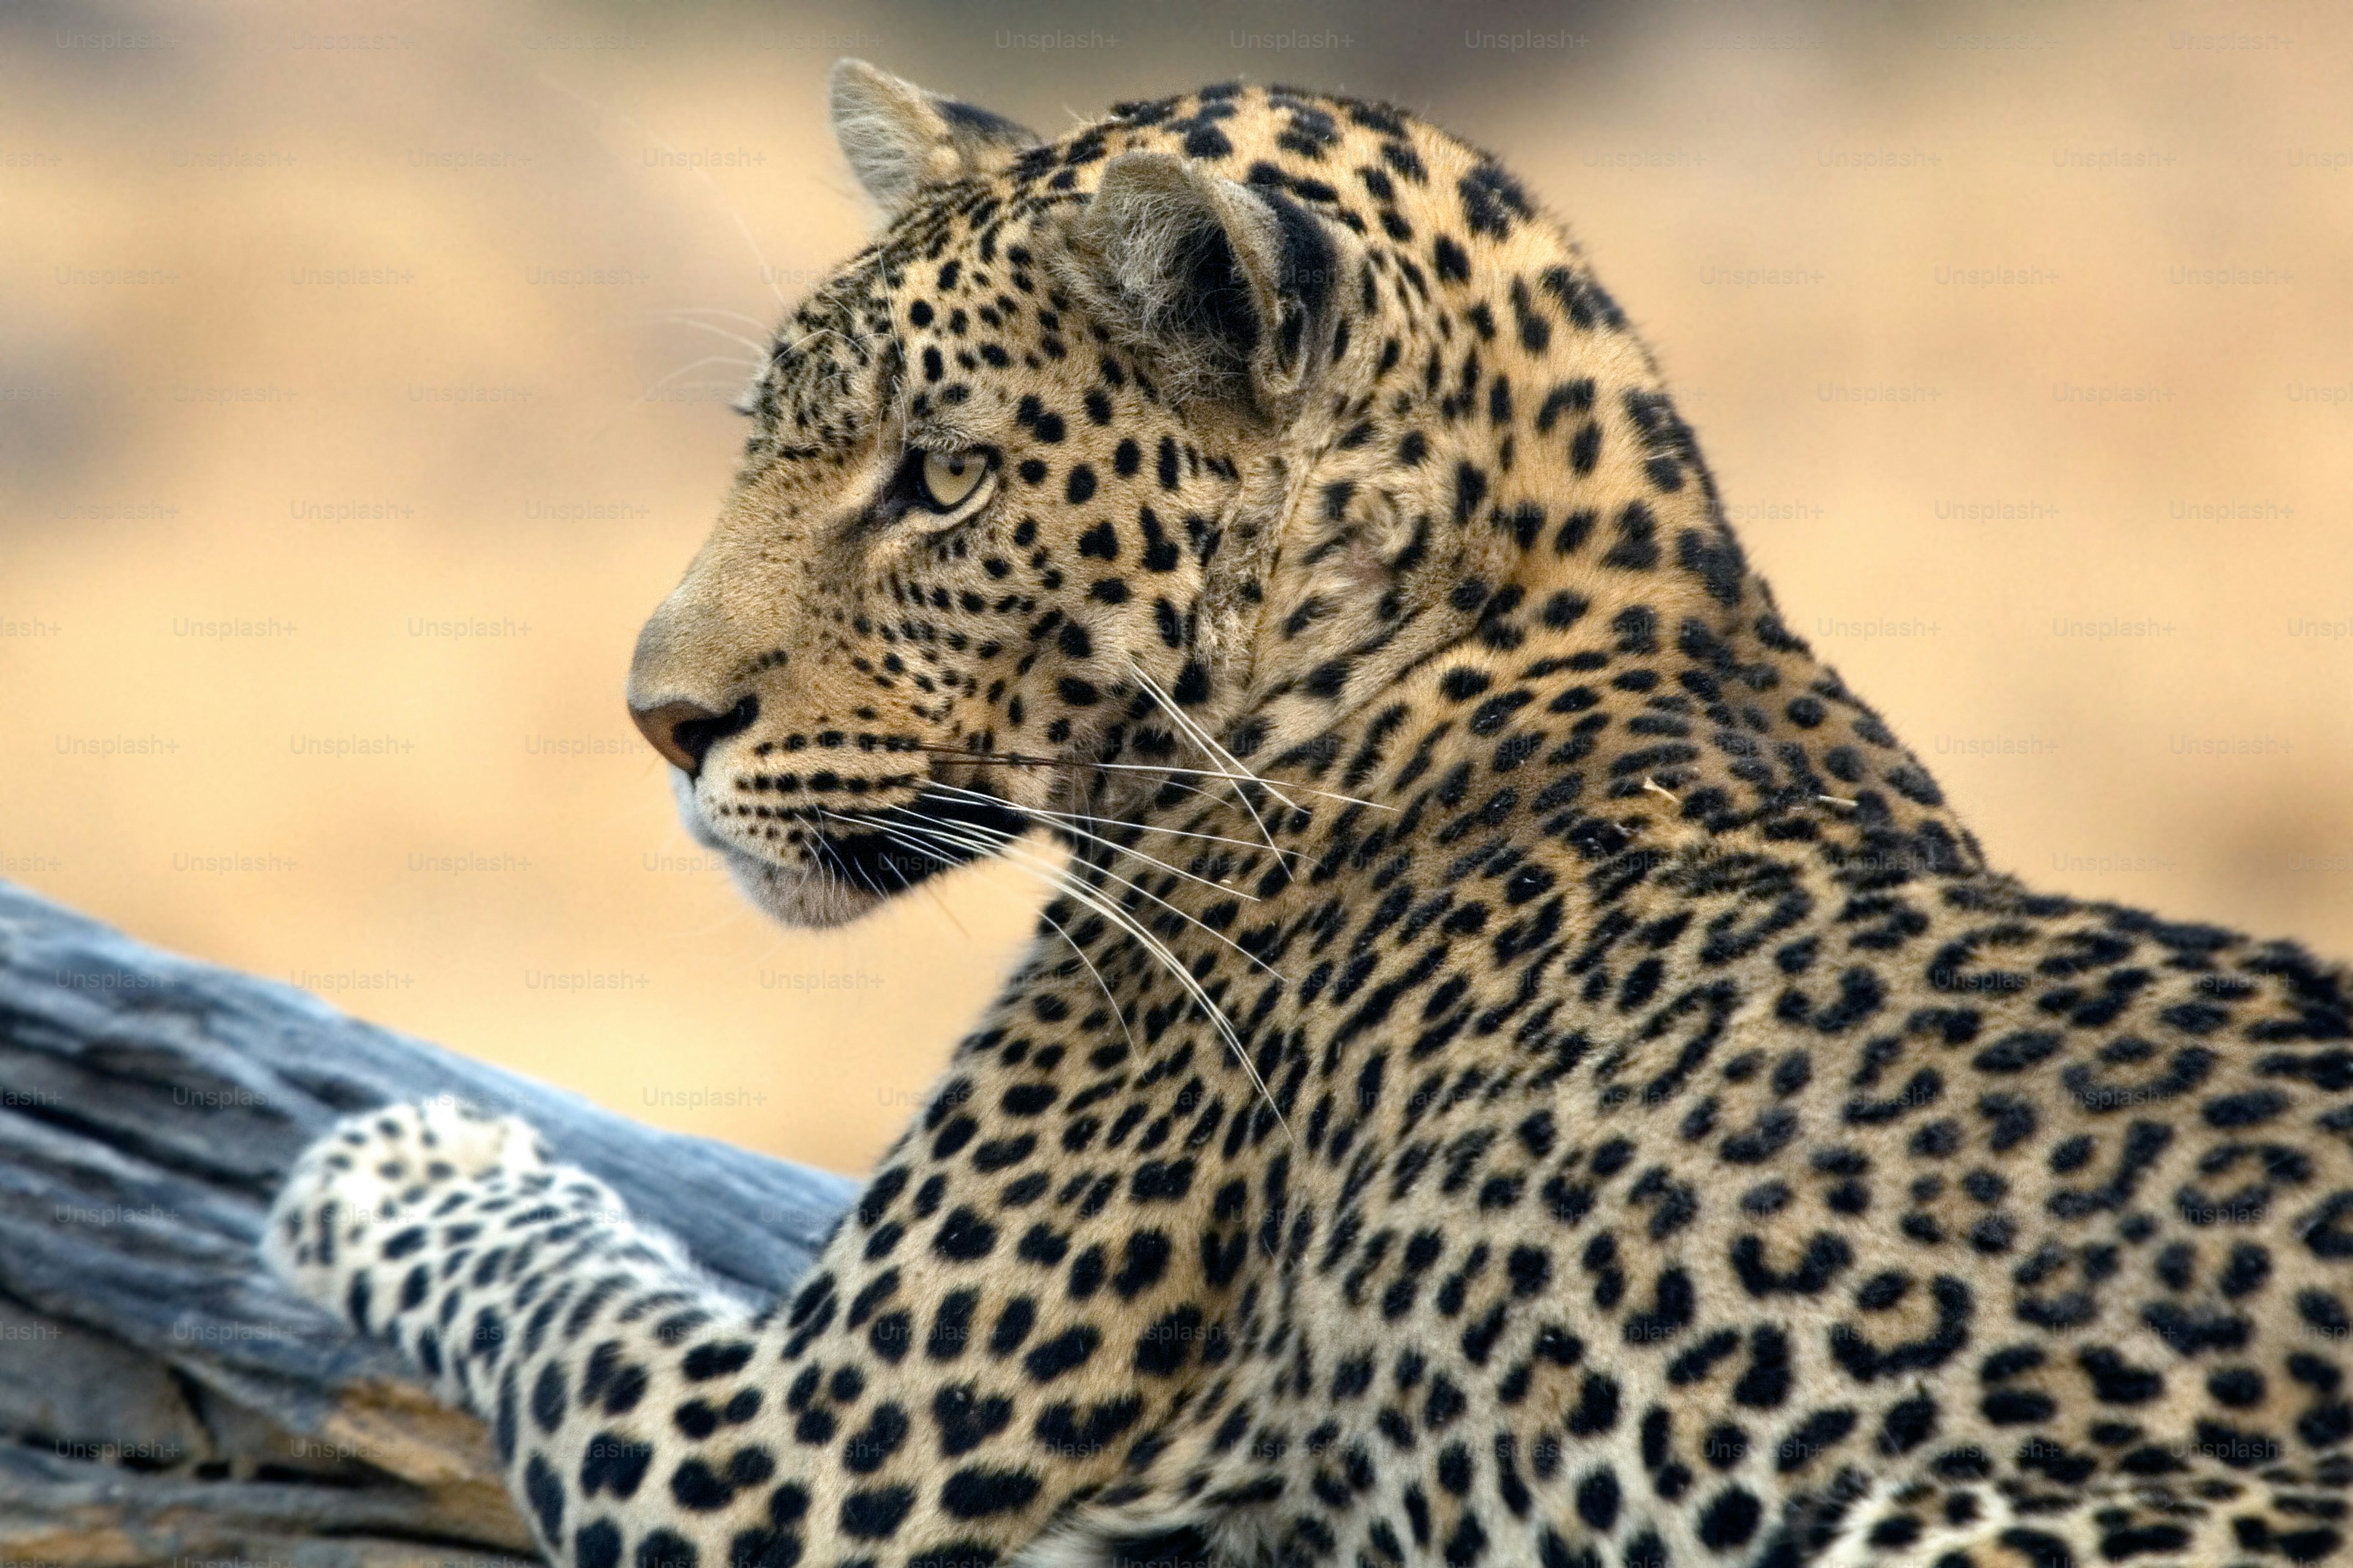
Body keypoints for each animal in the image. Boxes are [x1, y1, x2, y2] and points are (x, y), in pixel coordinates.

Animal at [261, 60, 2353, 1568]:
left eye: (941, 479)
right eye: (768, 443)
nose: (661, 722)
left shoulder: (786, 1457)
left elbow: (555, 1270)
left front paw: (400, 1157)